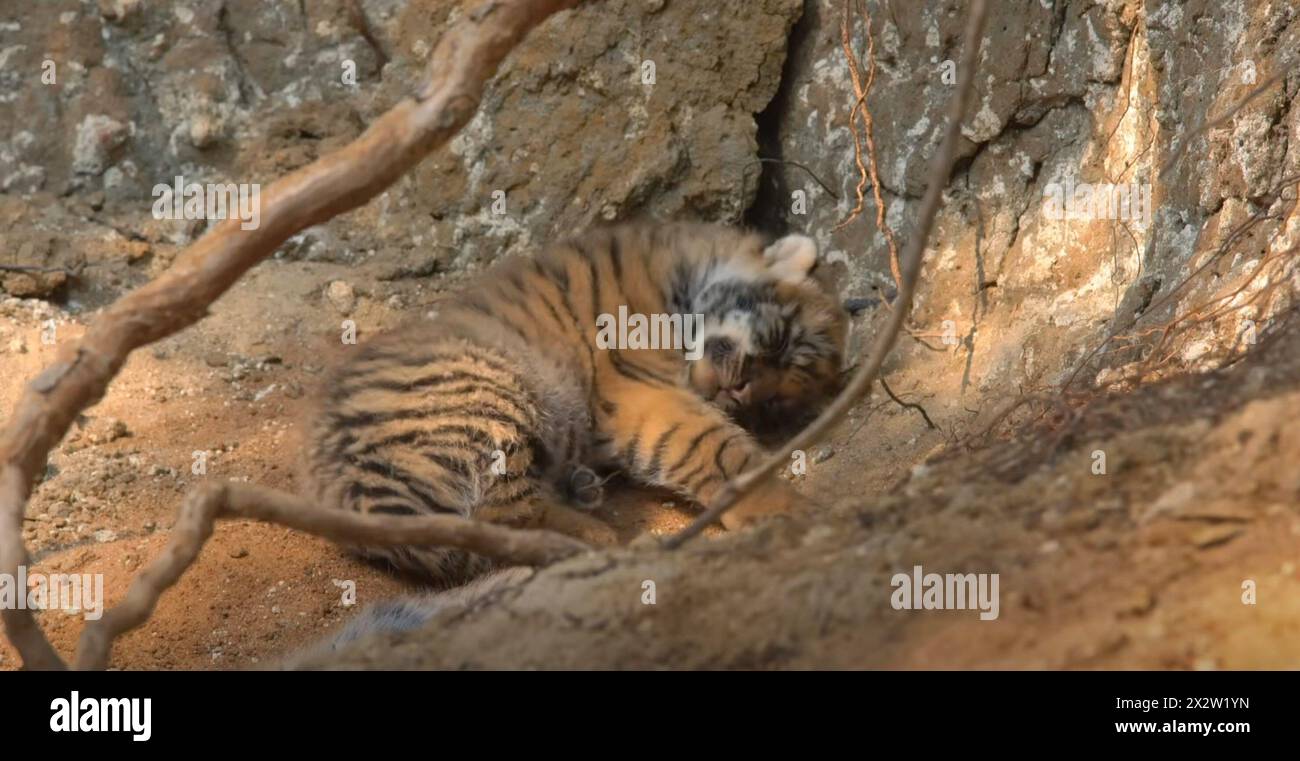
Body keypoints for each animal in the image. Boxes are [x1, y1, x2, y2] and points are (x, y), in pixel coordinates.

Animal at [300, 221, 847, 585]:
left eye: (775, 402)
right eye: (779, 341)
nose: (743, 392)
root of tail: (346, 488)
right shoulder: (640, 391)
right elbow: (719, 450)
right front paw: (787, 511)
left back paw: (581, 489)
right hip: (490, 392)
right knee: (503, 519)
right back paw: (603, 540)